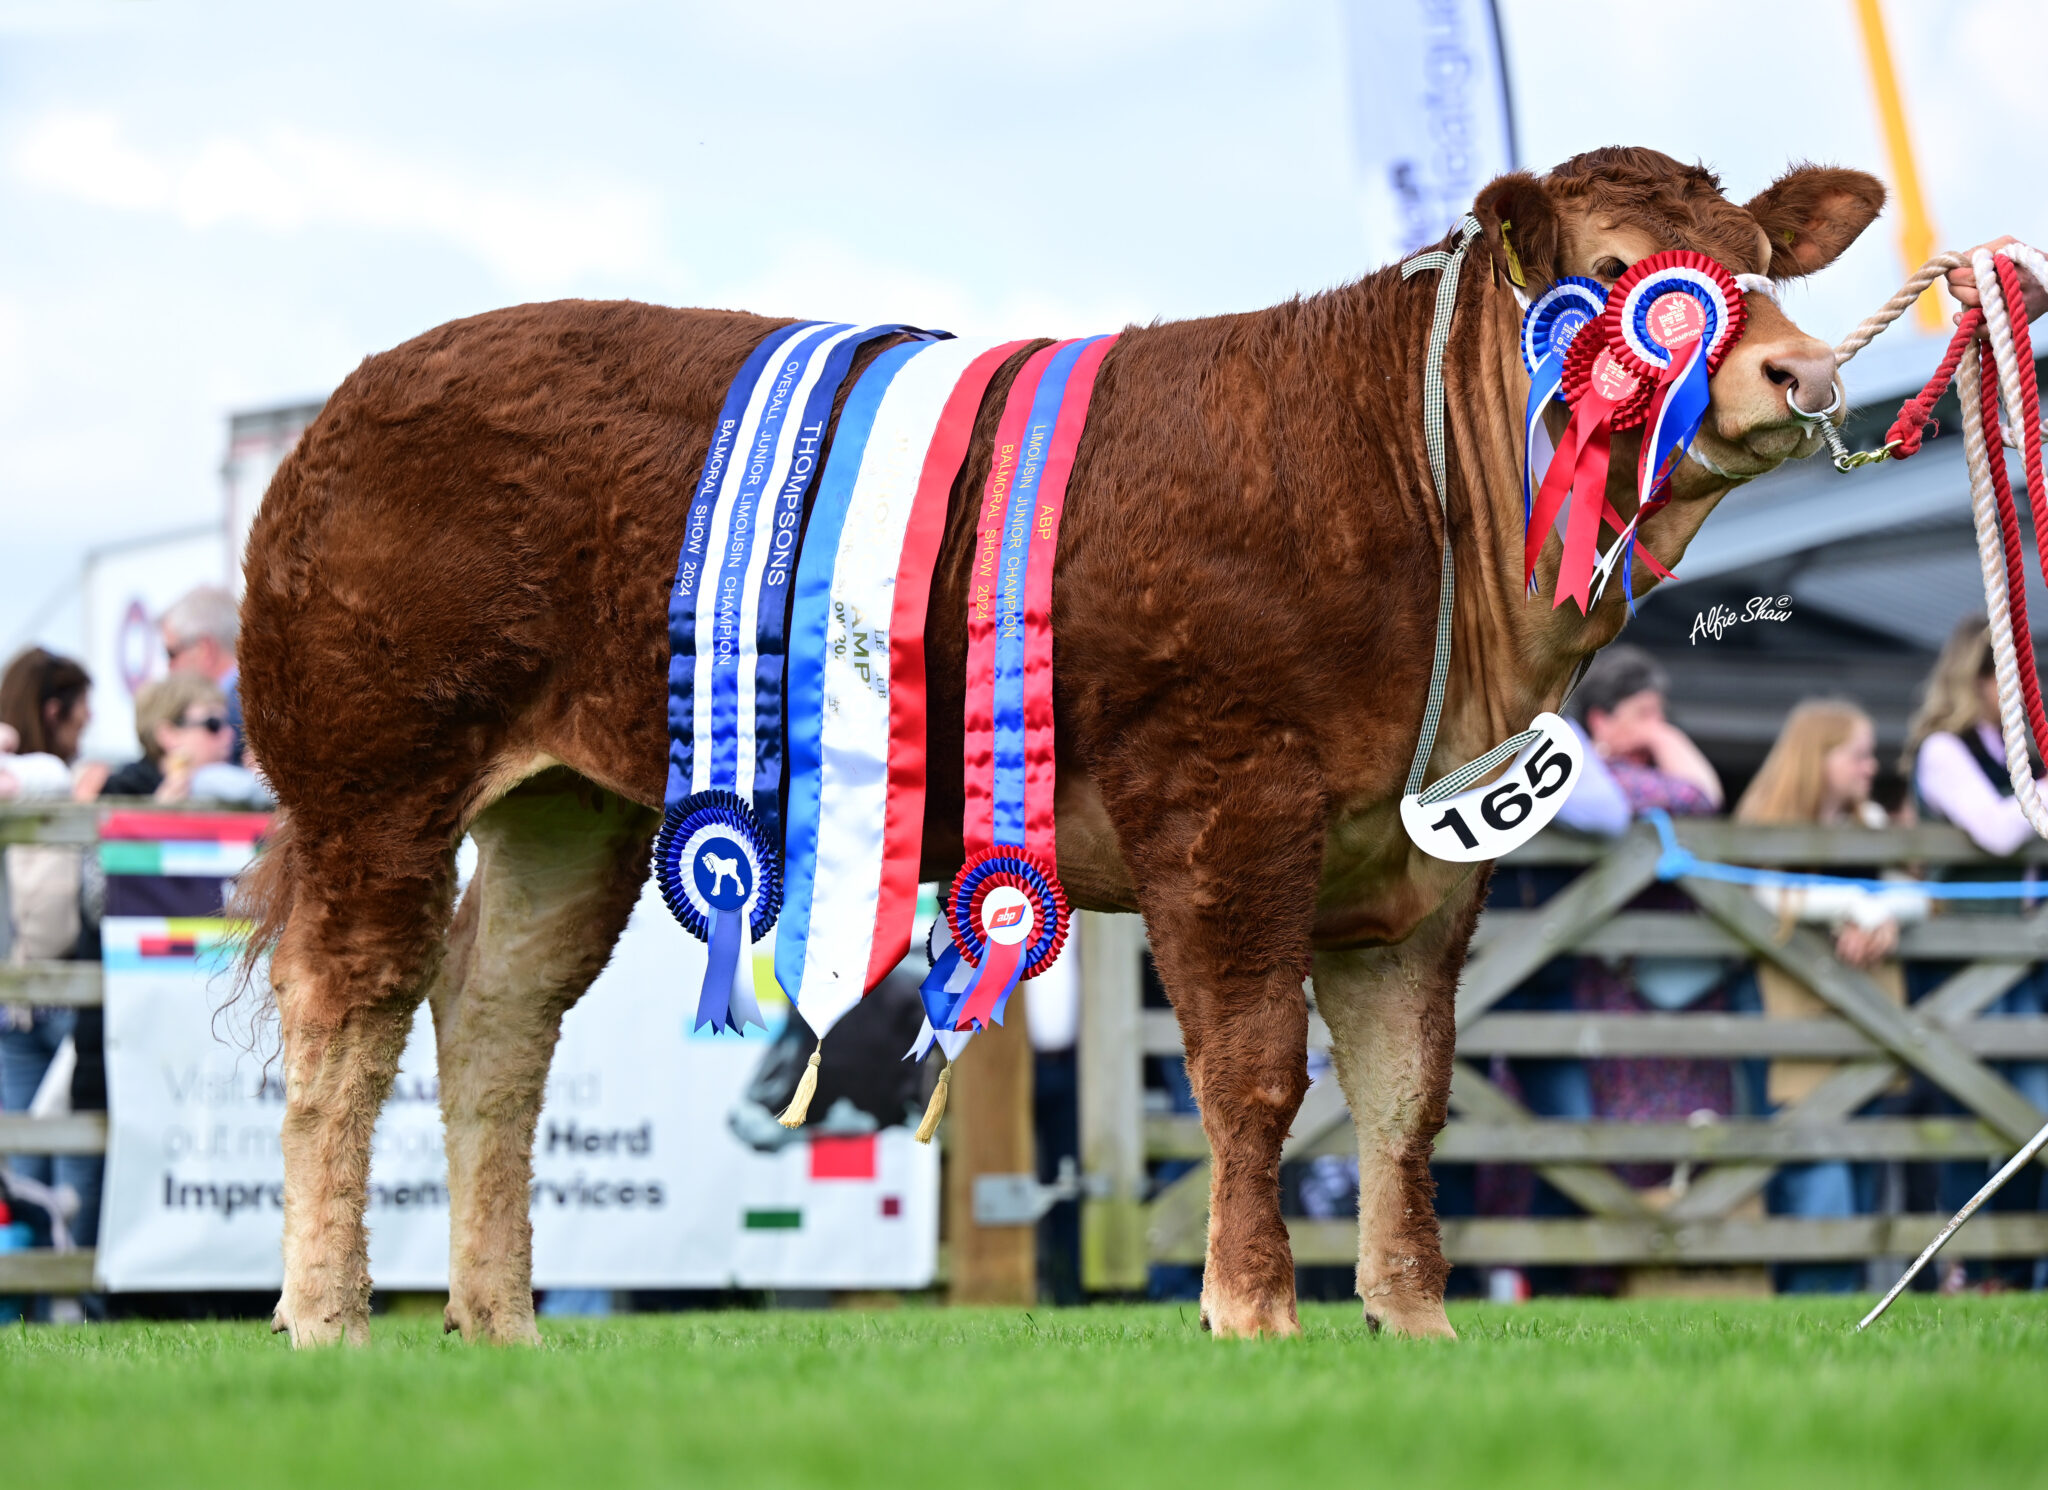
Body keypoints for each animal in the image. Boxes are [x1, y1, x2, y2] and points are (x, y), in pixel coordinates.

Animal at [235, 147, 1883, 1346]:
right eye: (1613, 277)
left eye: (1759, 260)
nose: (1803, 374)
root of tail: (349, 402)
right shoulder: (1224, 807)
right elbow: (1253, 1077)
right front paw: (1253, 1307)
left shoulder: (1424, 861)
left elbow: (1405, 1097)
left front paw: (1411, 1320)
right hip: (375, 774)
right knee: (350, 1016)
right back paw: (328, 1317)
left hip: (569, 806)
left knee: (495, 1019)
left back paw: (499, 1321)